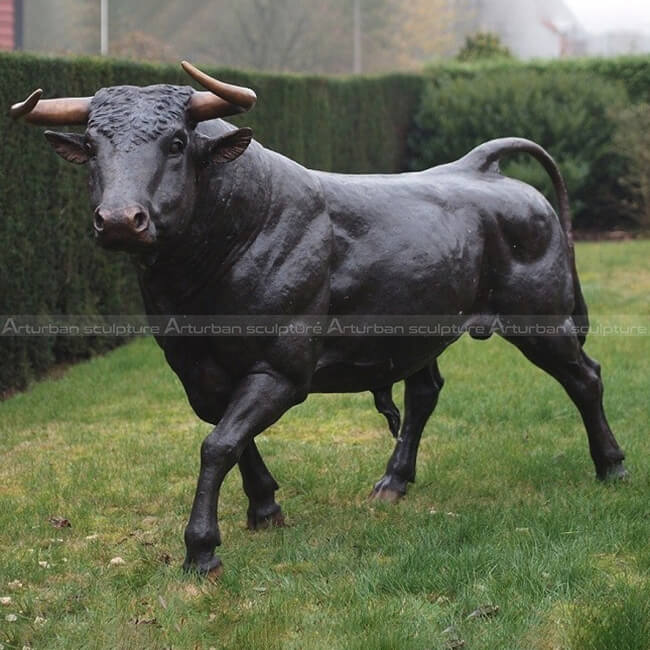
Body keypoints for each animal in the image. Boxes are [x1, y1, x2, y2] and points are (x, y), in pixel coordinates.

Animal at [11, 61, 626, 576]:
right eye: (92, 145)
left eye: (177, 142)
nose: (120, 220)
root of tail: (482, 168)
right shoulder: (194, 368)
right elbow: (230, 437)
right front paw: (264, 507)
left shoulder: (281, 367)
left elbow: (218, 445)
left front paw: (202, 548)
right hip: (419, 333)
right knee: (425, 393)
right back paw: (393, 482)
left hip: (542, 321)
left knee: (585, 377)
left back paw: (612, 467)